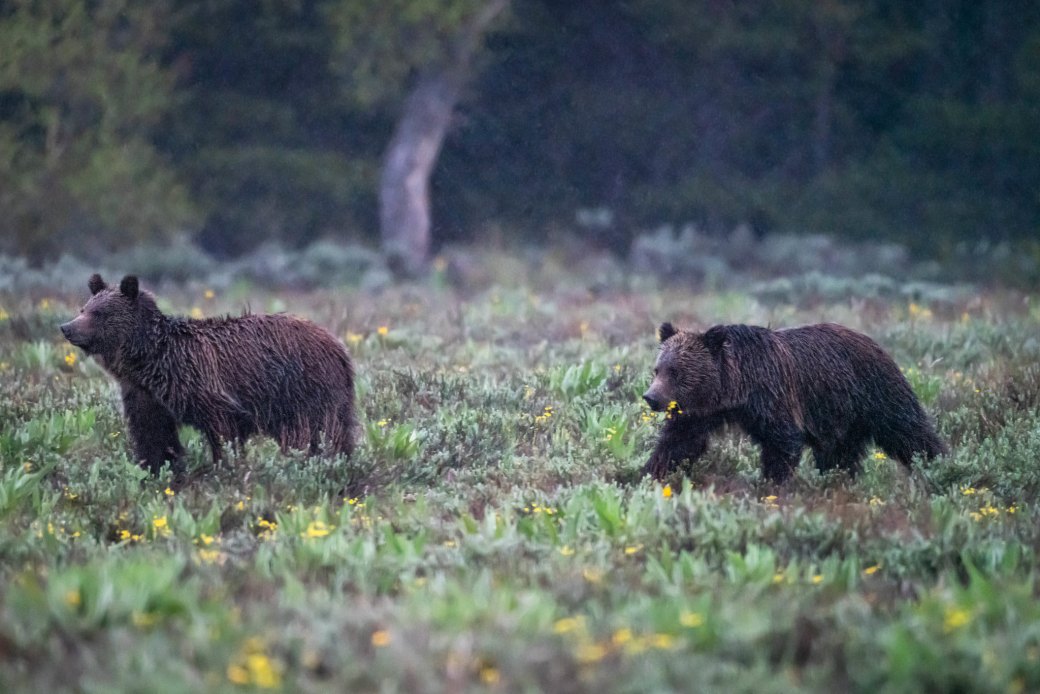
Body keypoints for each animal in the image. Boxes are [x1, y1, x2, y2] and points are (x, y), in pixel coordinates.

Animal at [60, 274, 357, 475]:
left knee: (317, 432)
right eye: (83, 308)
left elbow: (223, 433)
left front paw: (222, 467)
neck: (149, 364)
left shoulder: (206, 388)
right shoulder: (144, 395)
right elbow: (152, 434)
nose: (66, 327)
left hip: (305, 389)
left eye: (99, 313)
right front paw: (156, 468)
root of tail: (338, 345)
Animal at [642, 321, 947, 483]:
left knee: (908, 431)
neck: (736, 389)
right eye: (658, 369)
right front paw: (651, 472)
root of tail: (876, 343)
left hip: (875, 392)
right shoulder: (701, 411)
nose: (651, 398)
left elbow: (781, 442)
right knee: (839, 455)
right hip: (839, 418)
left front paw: (771, 484)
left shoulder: (773, 397)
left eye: (676, 372)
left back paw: (940, 465)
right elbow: (680, 441)